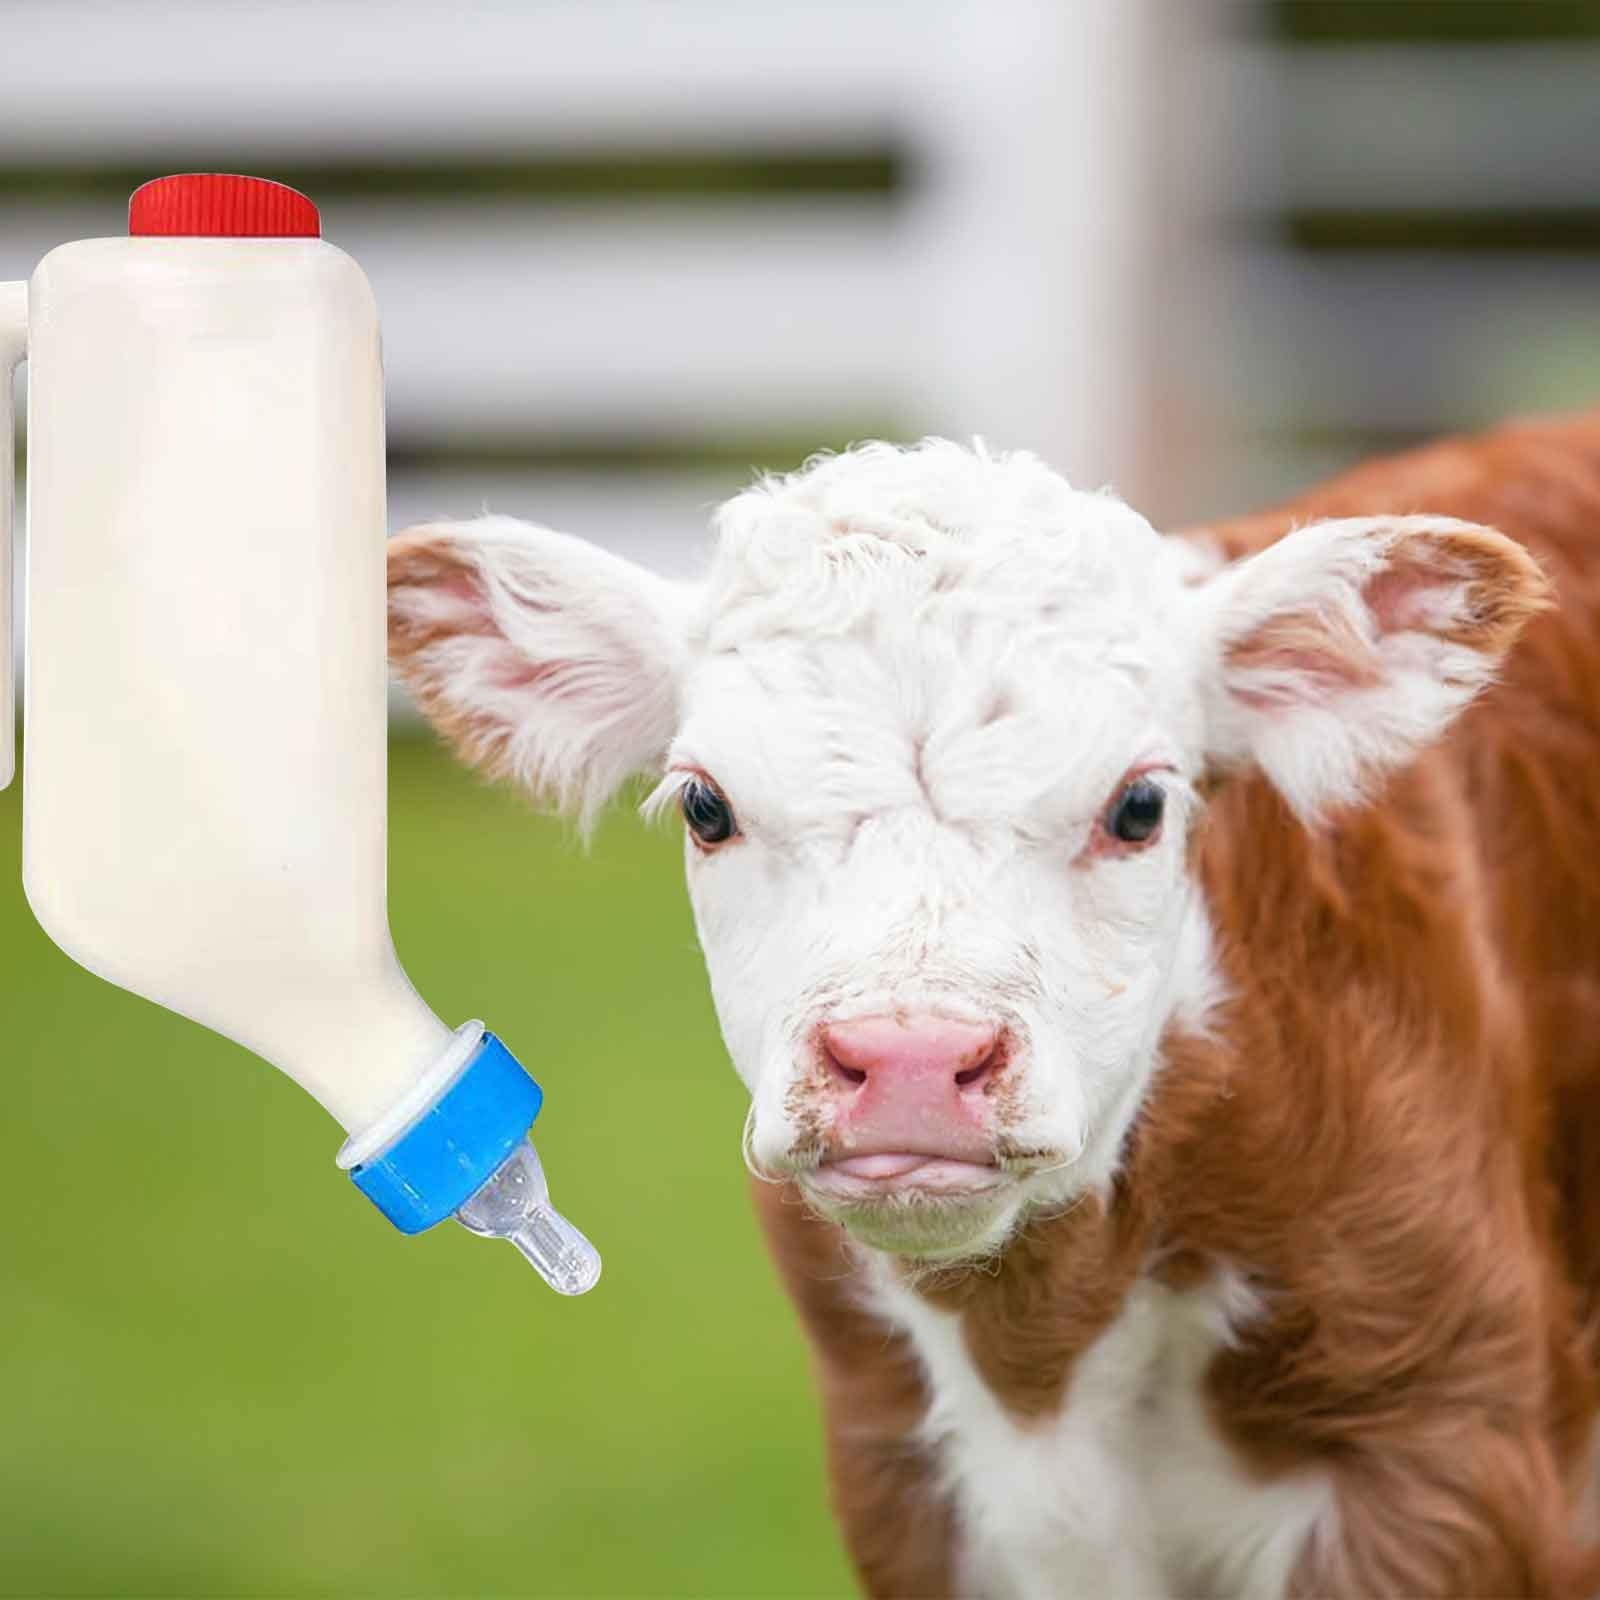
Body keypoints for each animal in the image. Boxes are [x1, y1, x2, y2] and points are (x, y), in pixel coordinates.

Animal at [386, 412, 1600, 1597]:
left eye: (1140, 805)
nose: (910, 1063)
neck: (1042, 1358)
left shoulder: (1442, 1448)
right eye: (705, 805)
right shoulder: (895, 1470)